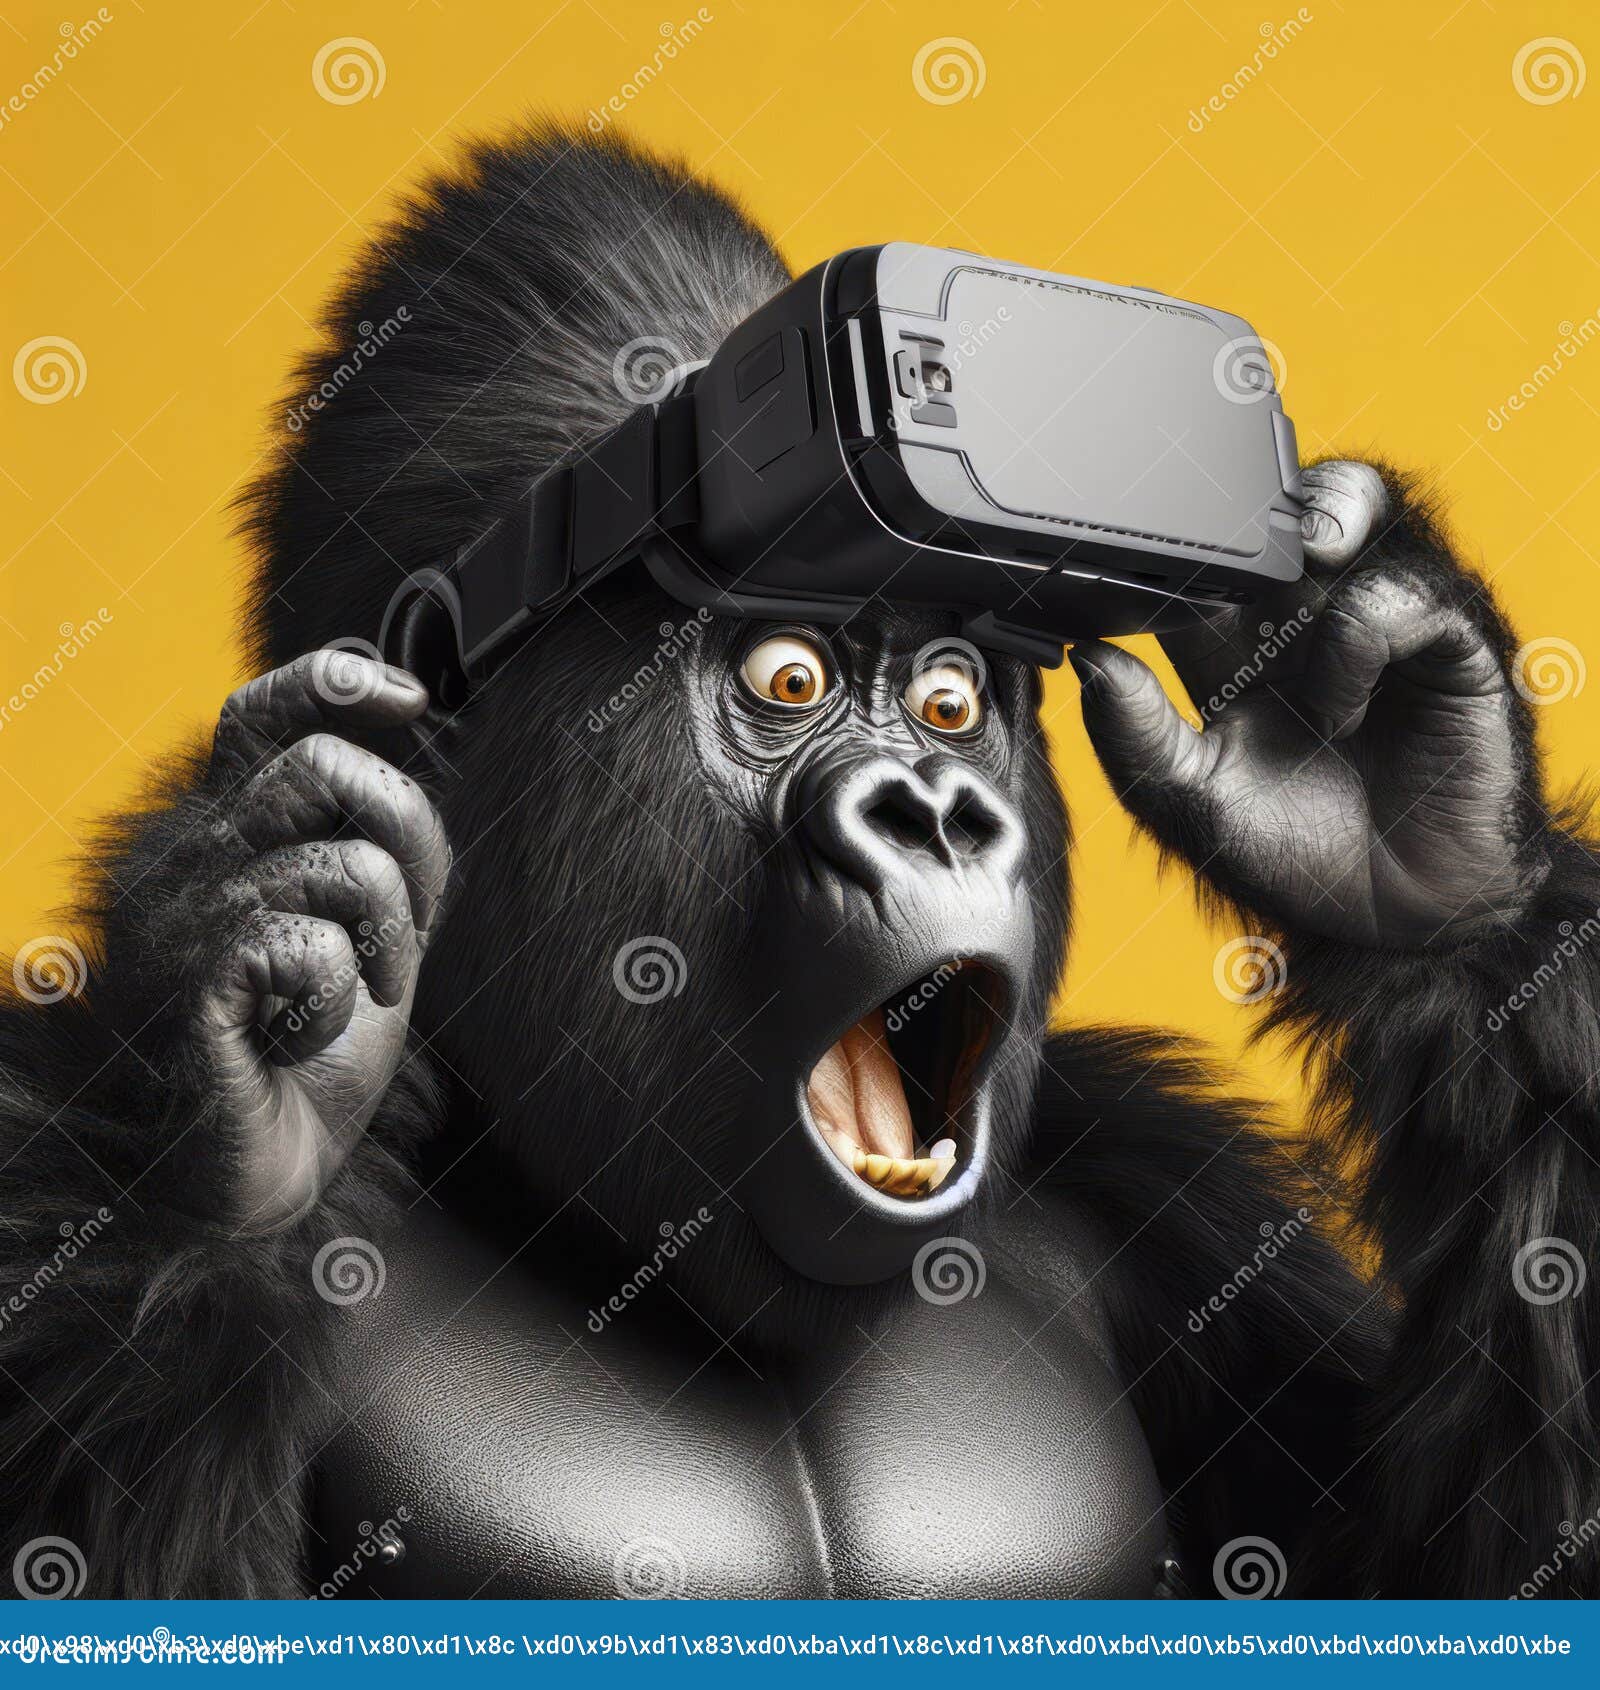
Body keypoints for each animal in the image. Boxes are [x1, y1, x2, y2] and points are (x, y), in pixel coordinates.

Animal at [0, 122, 1594, 1600]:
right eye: (787, 678)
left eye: (951, 700)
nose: (939, 812)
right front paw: (239, 1099)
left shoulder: (1157, 1195)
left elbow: (1439, 1561)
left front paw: (1399, 768)